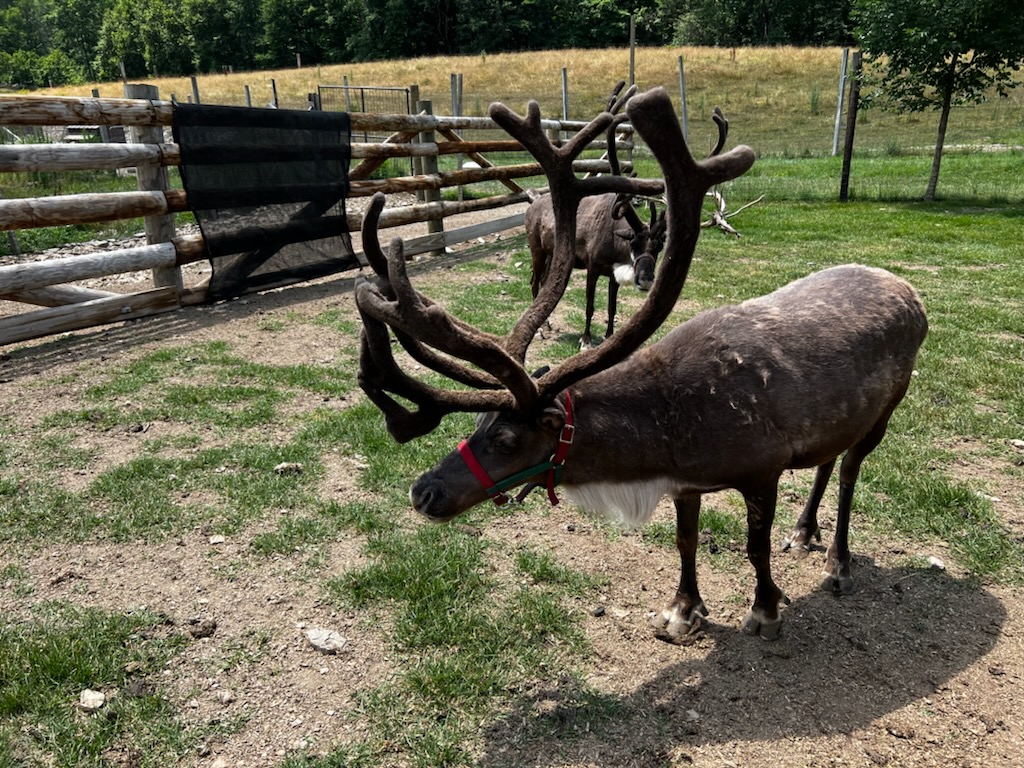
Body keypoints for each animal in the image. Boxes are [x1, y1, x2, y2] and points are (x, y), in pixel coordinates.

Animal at [524, 83, 670, 348]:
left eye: (659, 246)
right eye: (633, 242)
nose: (645, 280)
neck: (614, 239)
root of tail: (532, 203)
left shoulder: (612, 275)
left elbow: (612, 308)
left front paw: (609, 336)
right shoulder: (592, 269)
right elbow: (590, 306)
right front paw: (585, 339)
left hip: (553, 254)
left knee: (544, 282)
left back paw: (547, 324)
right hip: (536, 249)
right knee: (534, 281)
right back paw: (540, 331)